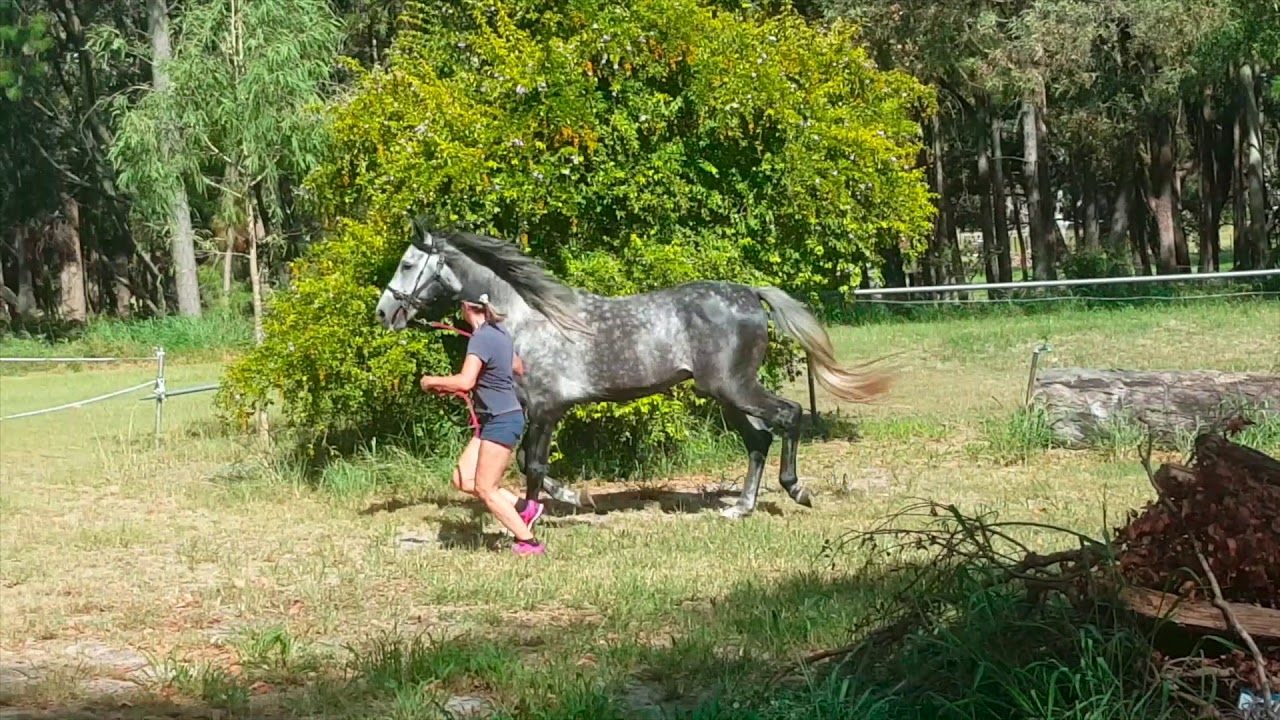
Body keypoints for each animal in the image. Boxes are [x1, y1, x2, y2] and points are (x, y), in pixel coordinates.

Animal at [375, 218, 893, 519]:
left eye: (407, 264)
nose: (384, 313)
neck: (530, 317)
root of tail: (750, 293)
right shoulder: (537, 410)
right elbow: (529, 463)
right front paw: (572, 499)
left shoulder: (546, 407)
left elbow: (533, 464)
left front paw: (540, 511)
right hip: (724, 394)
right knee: (758, 439)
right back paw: (740, 509)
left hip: (734, 387)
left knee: (788, 416)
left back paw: (796, 491)